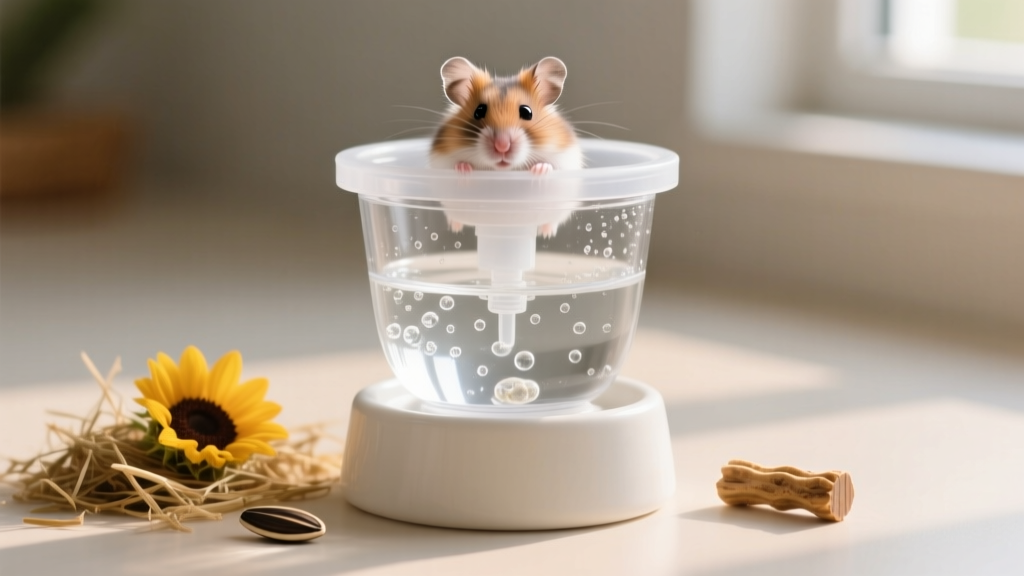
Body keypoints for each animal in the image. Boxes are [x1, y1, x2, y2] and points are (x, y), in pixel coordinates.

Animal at [429, 56, 583, 174]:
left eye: (527, 112)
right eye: (478, 112)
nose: (502, 146)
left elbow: (551, 165)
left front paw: (540, 170)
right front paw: (463, 168)